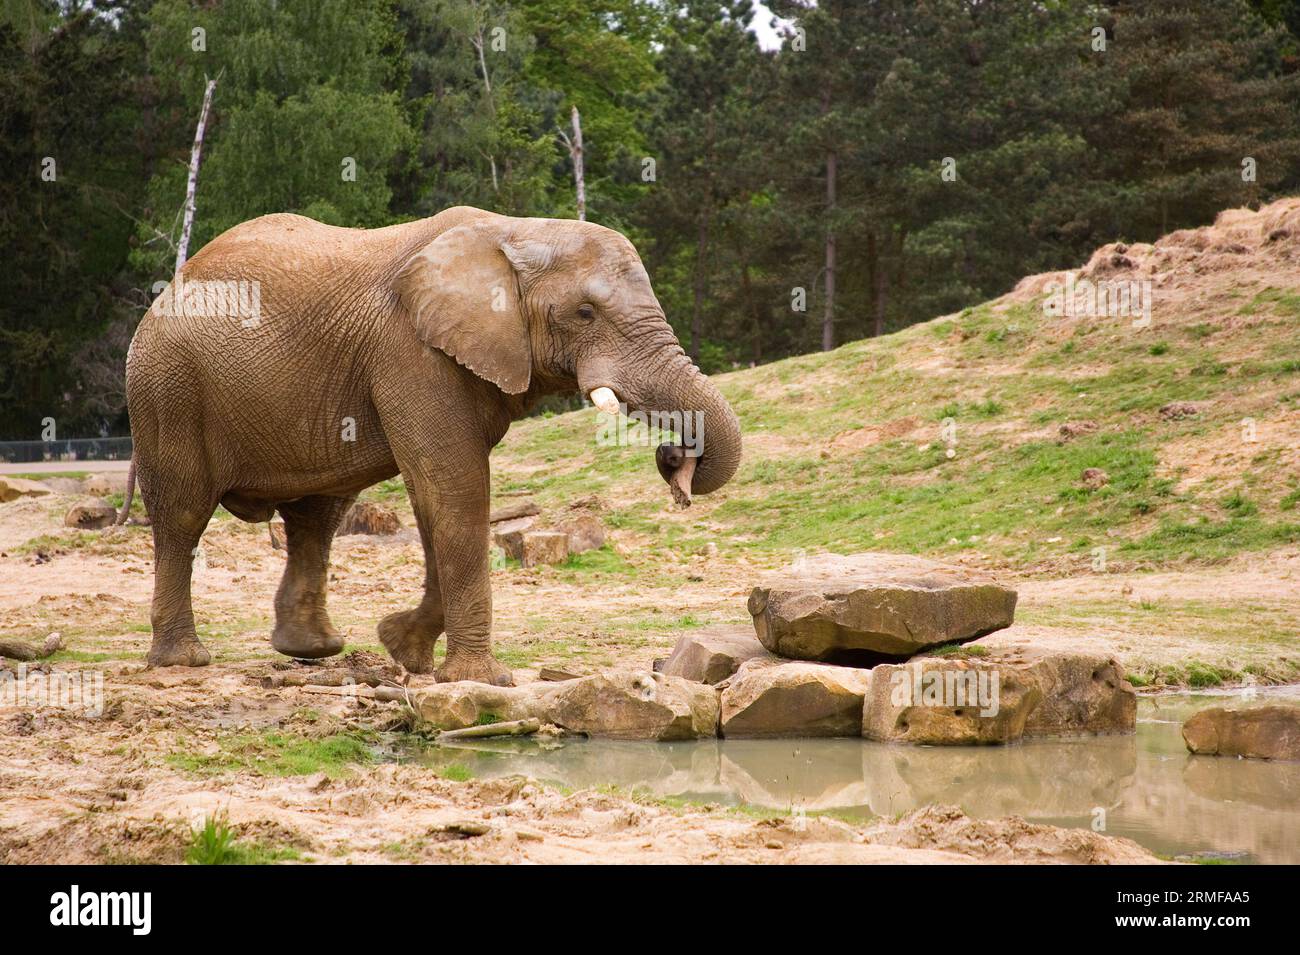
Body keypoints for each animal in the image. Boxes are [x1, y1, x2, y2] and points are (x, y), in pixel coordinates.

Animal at [121, 206, 742, 685]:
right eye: (585, 313)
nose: (674, 459)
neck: (516, 231)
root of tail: (171, 286)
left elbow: (436, 496)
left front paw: (404, 650)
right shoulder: (411, 352)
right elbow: (455, 487)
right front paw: (480, 680)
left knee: (317, 517)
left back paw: (312, 650)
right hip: (166, 387)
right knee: (182, 514)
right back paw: (183, 661)